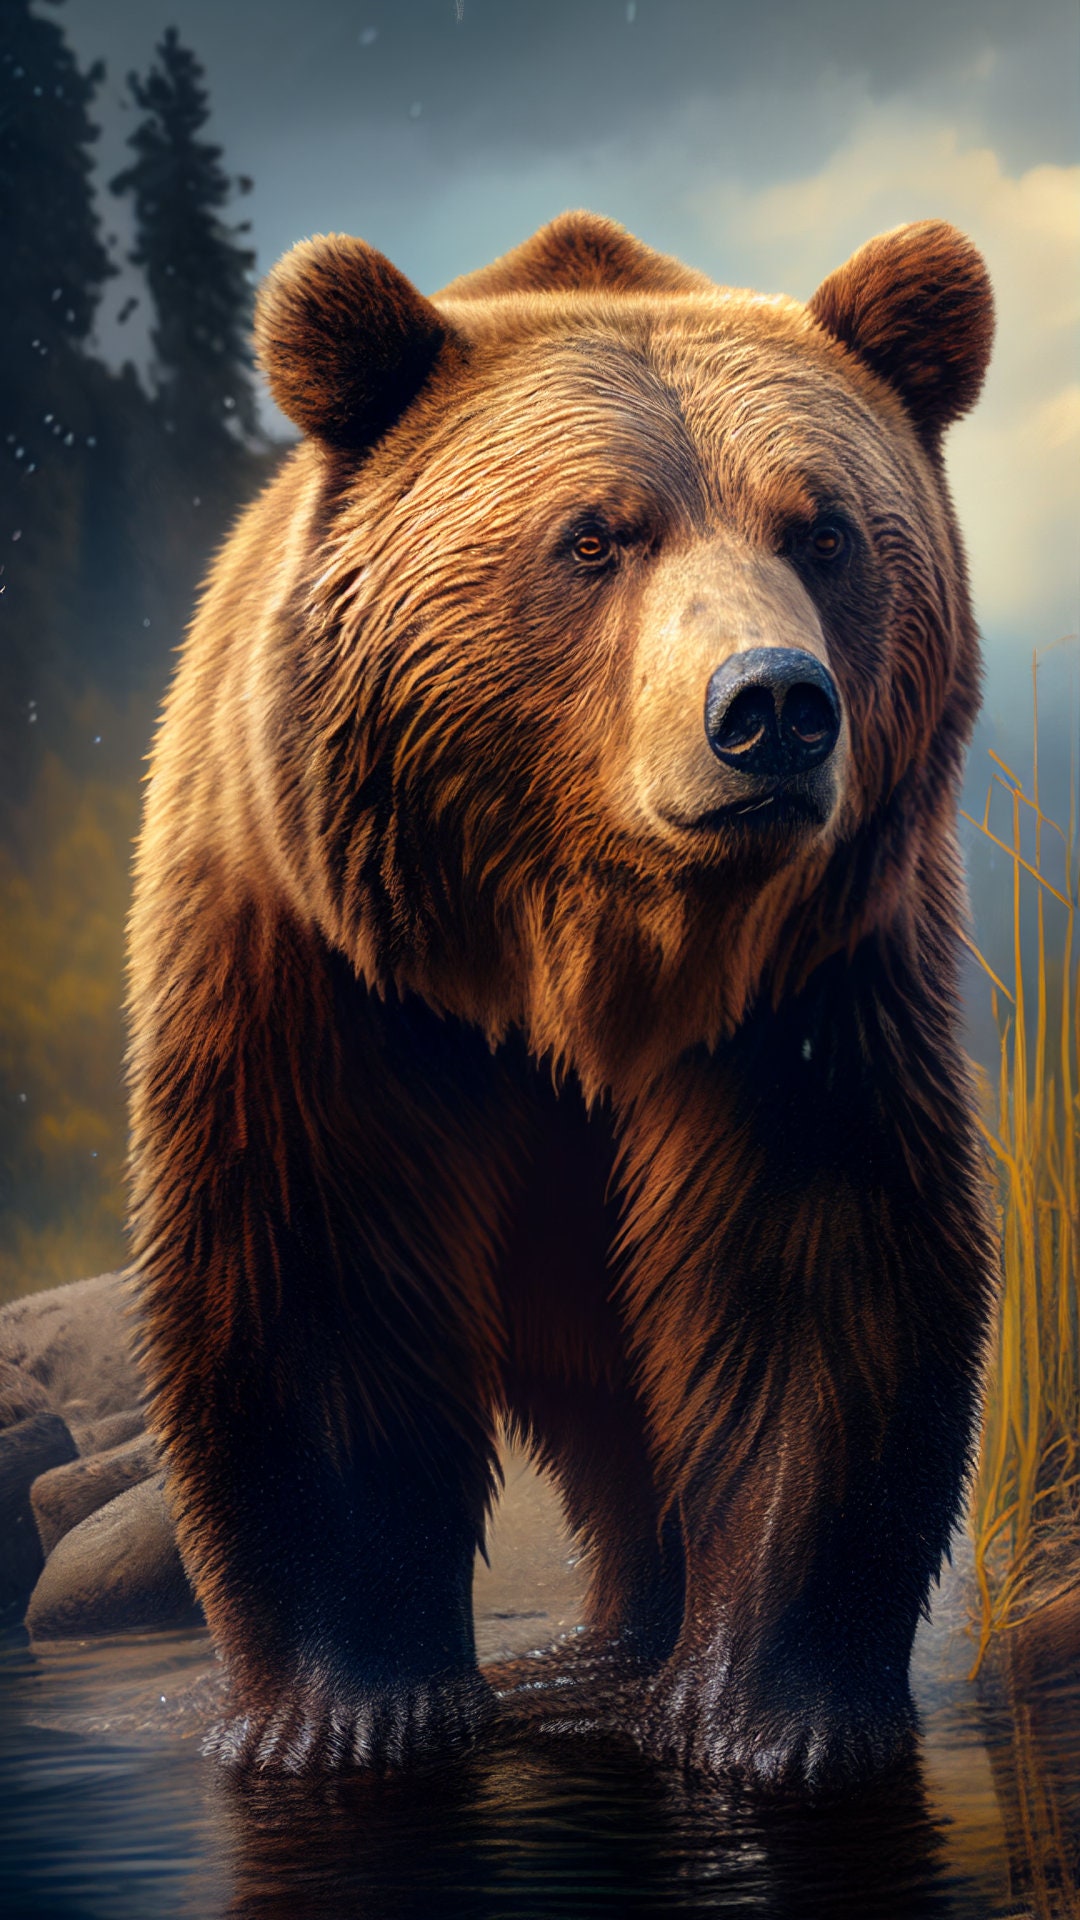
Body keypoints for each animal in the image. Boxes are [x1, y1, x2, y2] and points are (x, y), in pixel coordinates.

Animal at [126, 211, 997, 1790]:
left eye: (825, 531)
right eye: (595, 535)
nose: (772, 707)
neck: (590, 938)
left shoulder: (812, 984)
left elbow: (810, 1271)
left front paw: (772, 1720)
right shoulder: (323, 962)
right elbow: (312, 1273)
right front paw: (350, 1712)